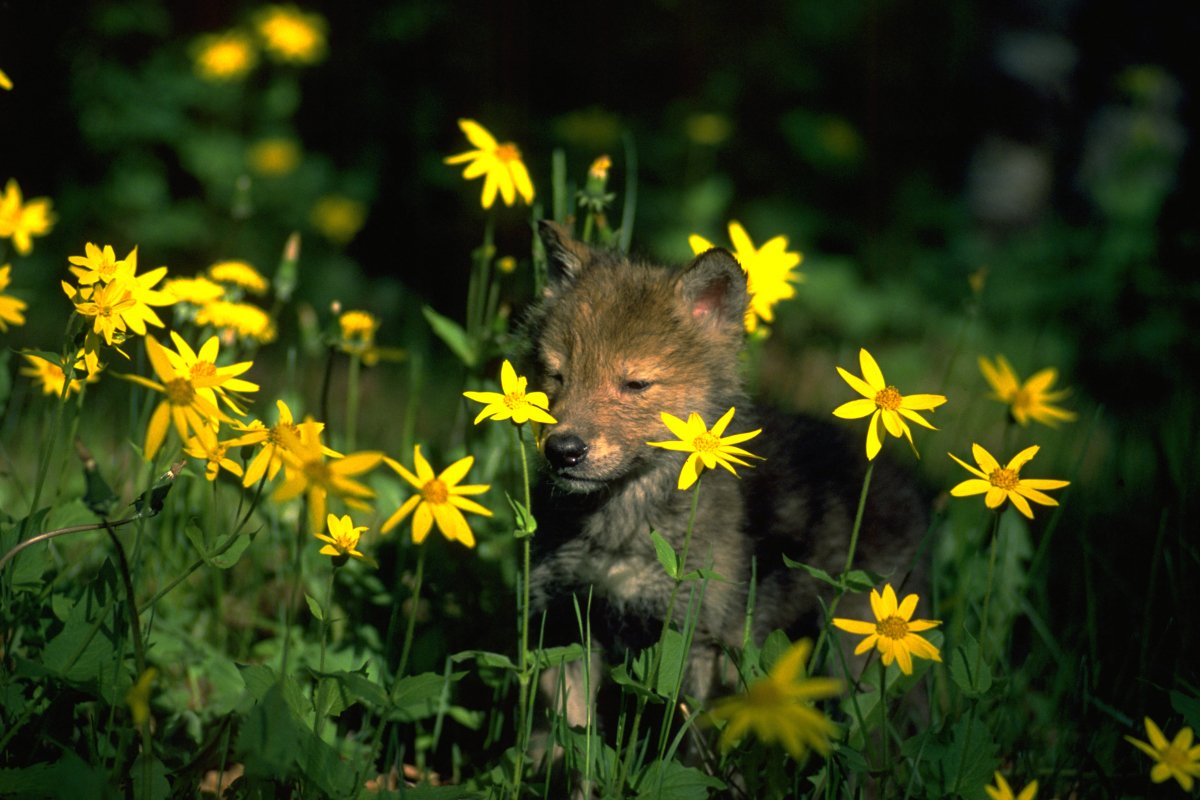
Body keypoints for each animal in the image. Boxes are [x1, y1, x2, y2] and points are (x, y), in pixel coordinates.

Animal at [522, 221, 926, 729]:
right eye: (557, 375)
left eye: (635, 384)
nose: (563, 450)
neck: (620, 527)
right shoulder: (566, 624)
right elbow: (565, 738)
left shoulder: (693, 641)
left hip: (860, 656)